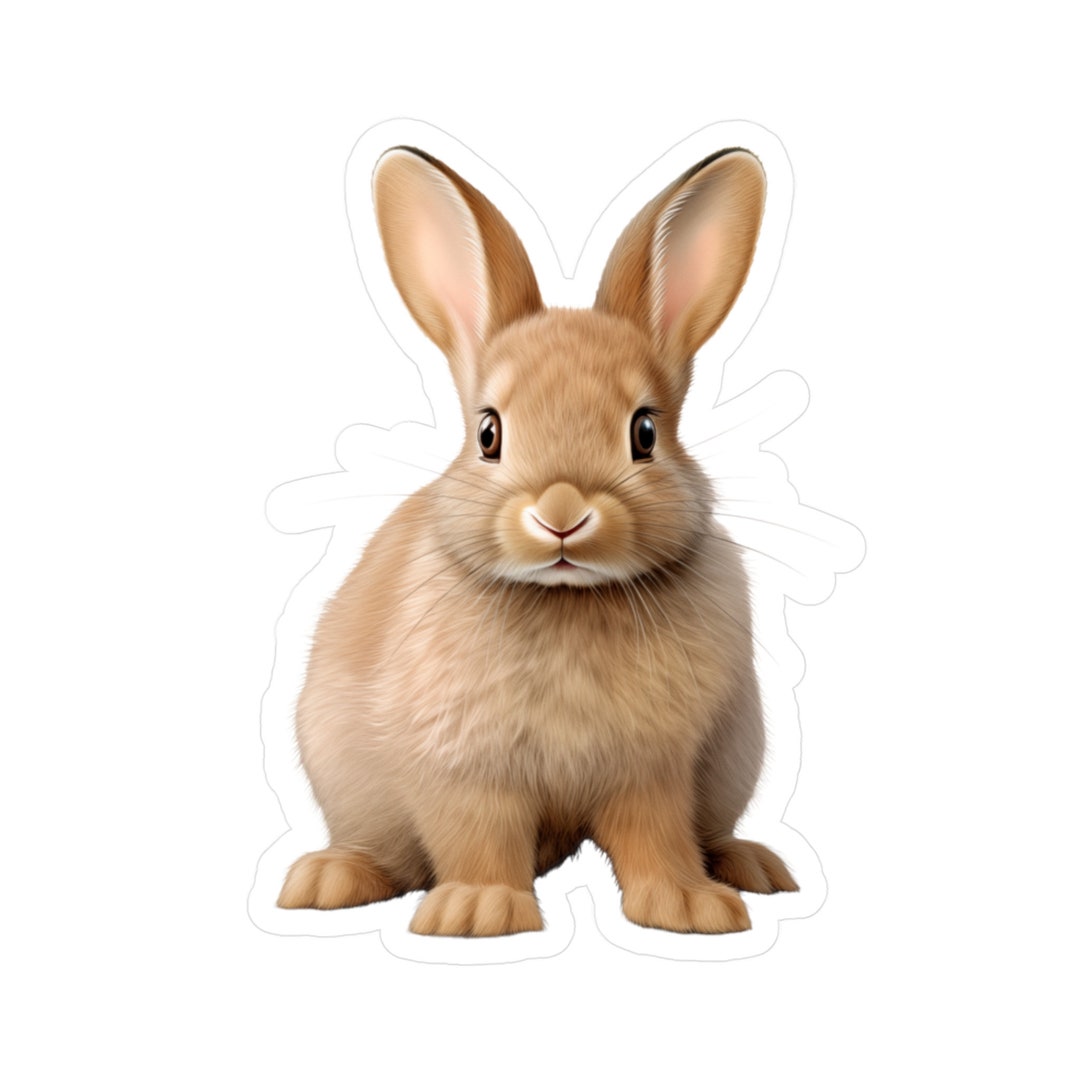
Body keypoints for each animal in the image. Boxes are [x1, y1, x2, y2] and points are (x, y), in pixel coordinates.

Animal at [276, 144, 798, 936]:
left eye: (645, 432)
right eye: (489, 433)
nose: (561, 513)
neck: (566, 598)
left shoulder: (654, 770)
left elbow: (656, 837)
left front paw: (689, 906)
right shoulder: (461, 769)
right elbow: (478, 836)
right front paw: (478, 911)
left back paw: (750, 866)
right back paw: (328, 878)